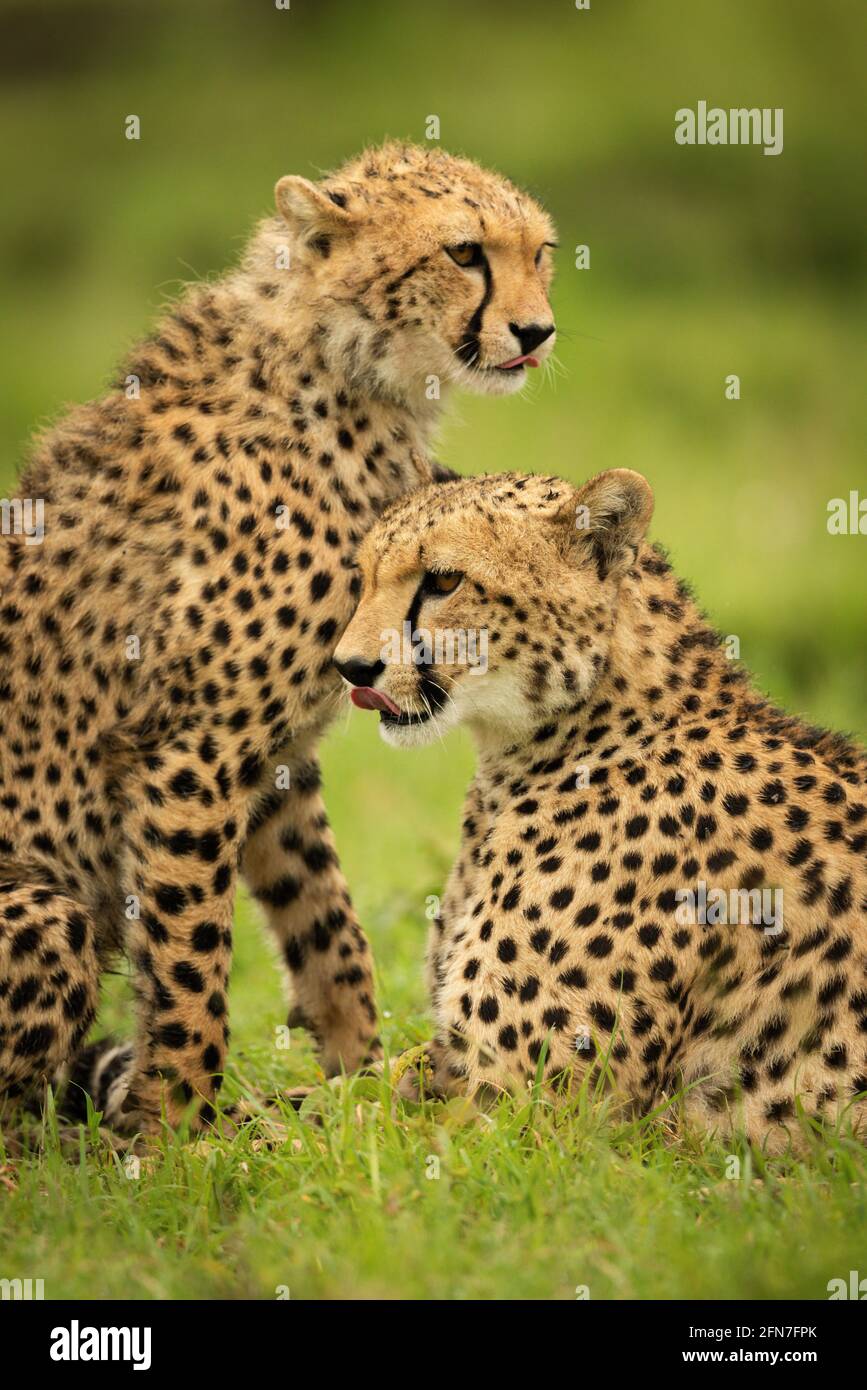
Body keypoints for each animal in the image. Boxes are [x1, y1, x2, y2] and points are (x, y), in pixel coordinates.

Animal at [0, 141, 556, 1136]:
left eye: (542, 253)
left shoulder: (278, 755)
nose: (538, 331)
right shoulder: (193, 749)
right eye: (464, 253)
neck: (350, 373)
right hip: (42, 906)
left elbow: (326, 922)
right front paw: (175, 1131)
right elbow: (191, 958)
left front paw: (353, 1081)